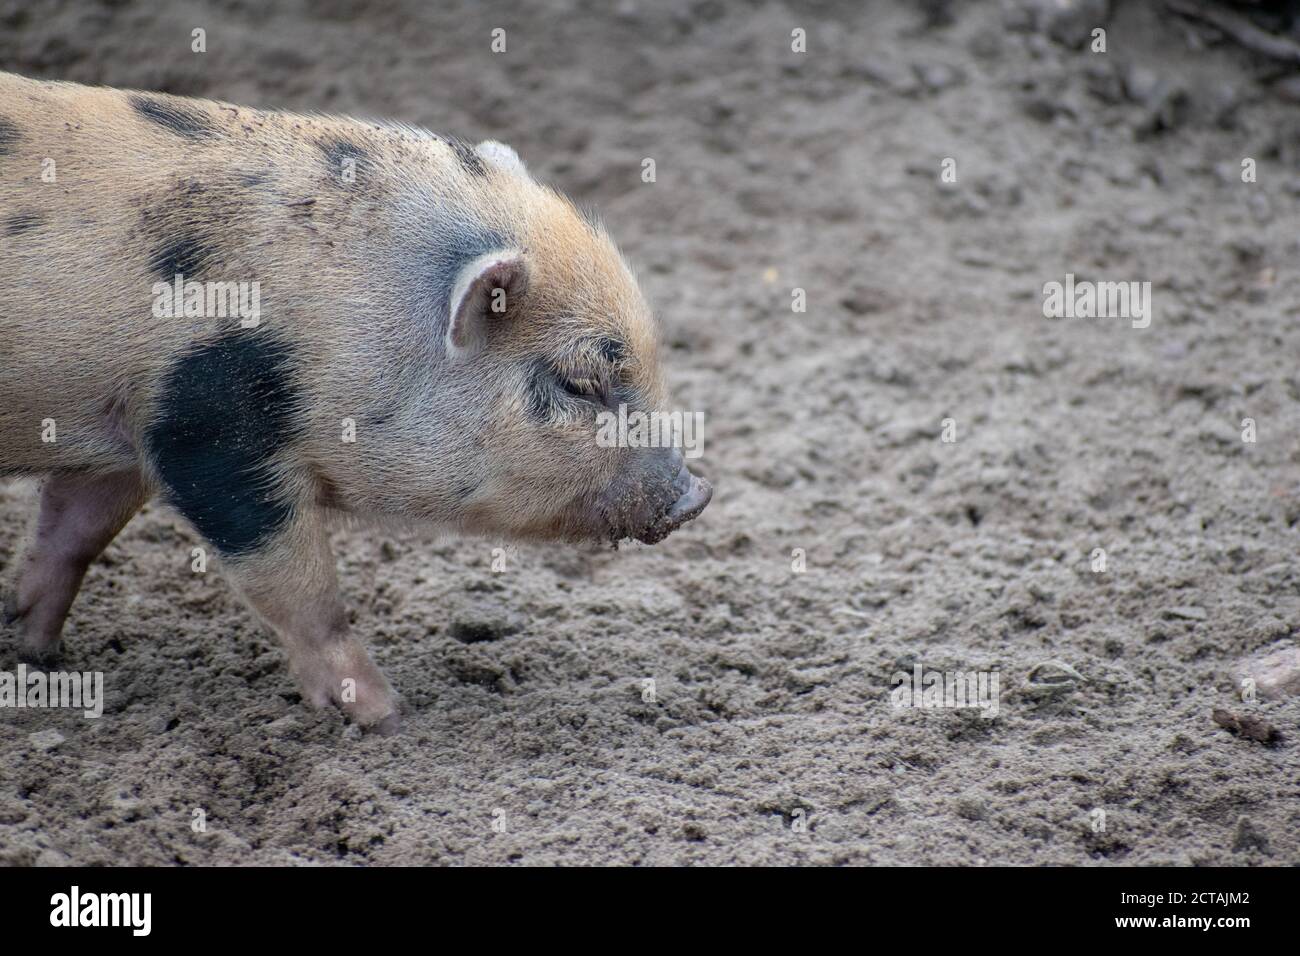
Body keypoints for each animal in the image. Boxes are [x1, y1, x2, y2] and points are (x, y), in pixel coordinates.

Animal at [0, 72, 711, 733]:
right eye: (578, 383)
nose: (695, 495)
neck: (359, 326)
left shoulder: (133, 425)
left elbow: (74, 532)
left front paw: (35, 651)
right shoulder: (206, 428)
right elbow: (303, 590)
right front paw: (391, 718)